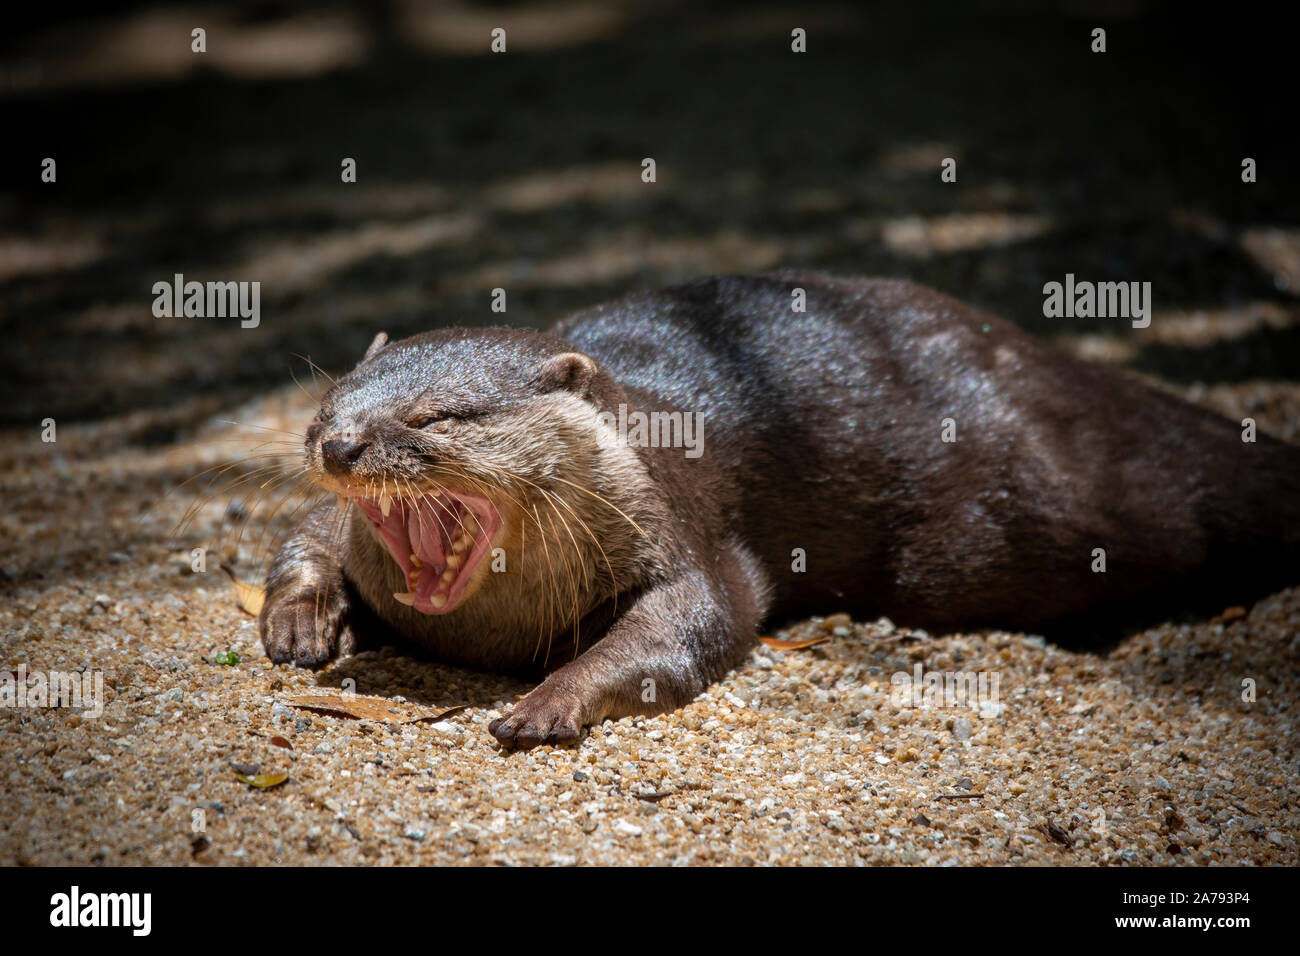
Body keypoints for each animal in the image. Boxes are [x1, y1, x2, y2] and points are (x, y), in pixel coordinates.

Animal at [259, 272, 1300, 748]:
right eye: (330, 399)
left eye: (438, 416)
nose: (339, 446)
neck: (486, 637)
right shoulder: (341, 523)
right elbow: (307, 535)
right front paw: (301, 622)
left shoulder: (687, 536)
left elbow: (694, 620)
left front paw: (551, 700)